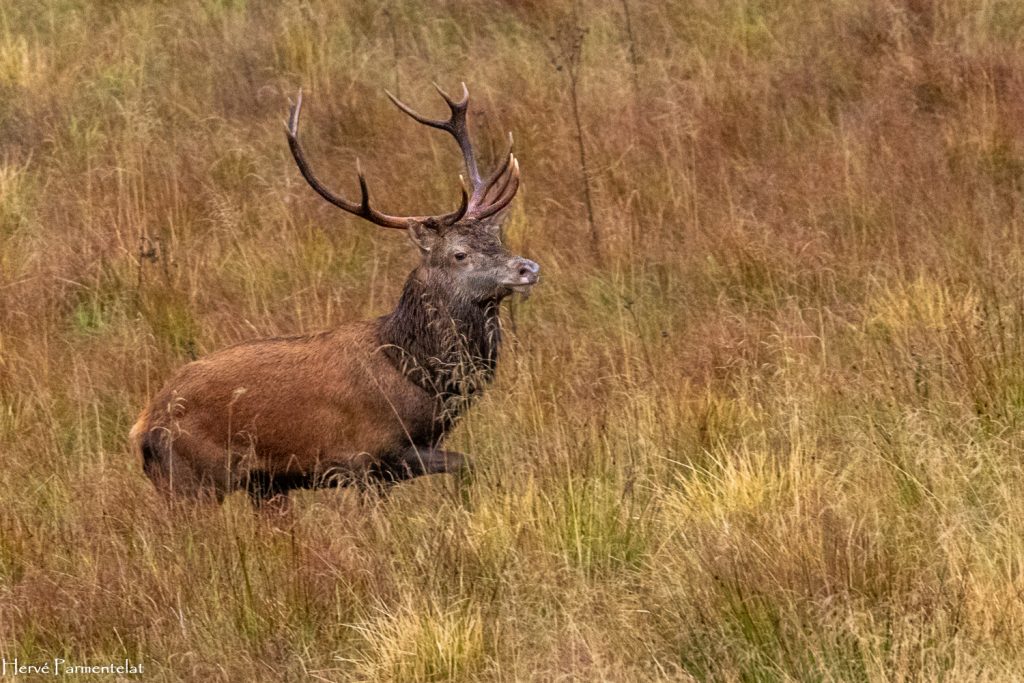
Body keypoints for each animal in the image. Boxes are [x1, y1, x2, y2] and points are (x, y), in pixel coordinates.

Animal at [129, 83, 539, 507]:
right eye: (459, 254)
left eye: (497, 239)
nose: (527, 268)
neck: (416, 375)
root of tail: (143, 427)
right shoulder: (367, 457)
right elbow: (464, 464)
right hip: (192, 482)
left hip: (264, 486)